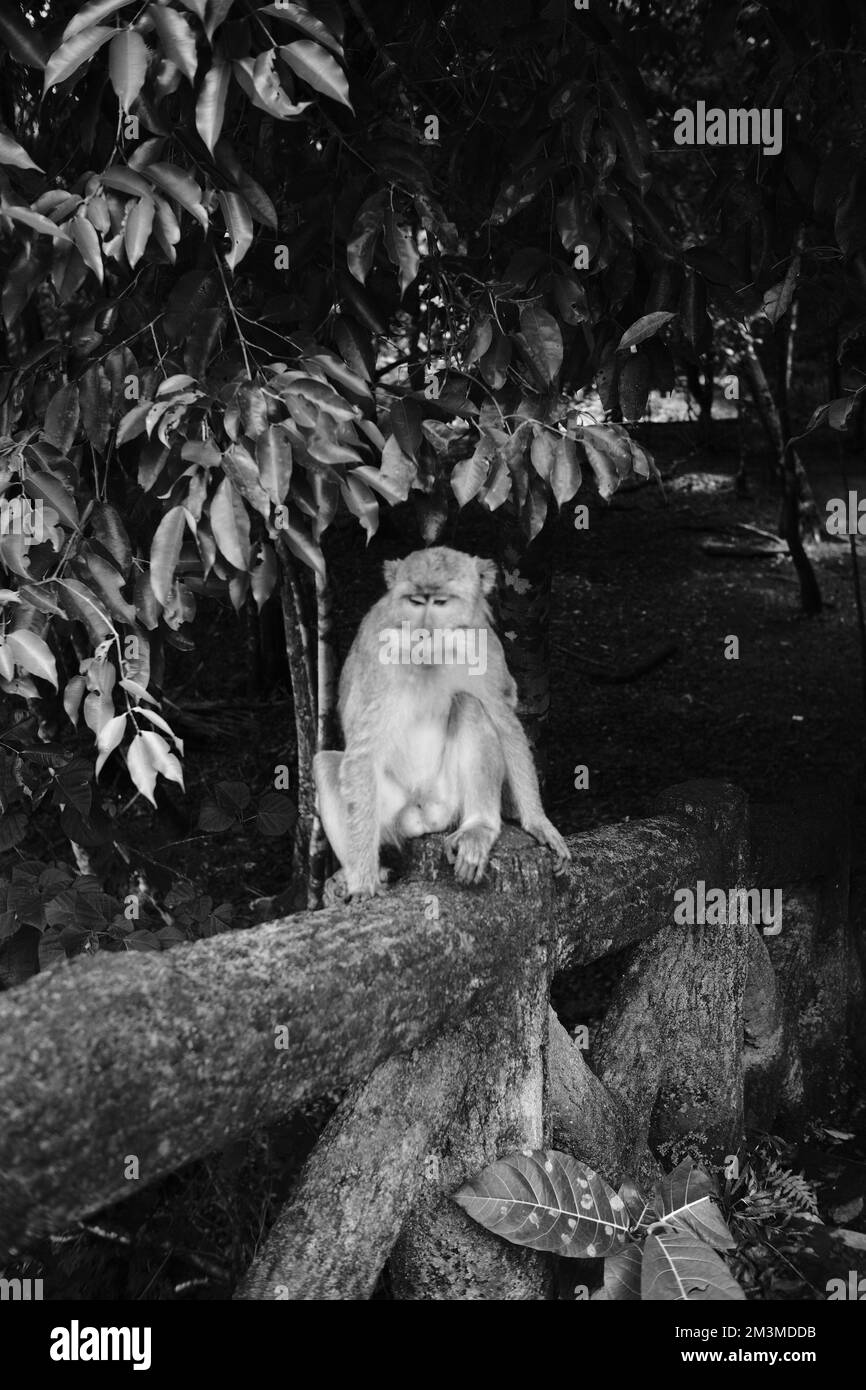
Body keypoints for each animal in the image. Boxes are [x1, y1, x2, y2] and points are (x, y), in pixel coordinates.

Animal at [313, 546, 570, 900]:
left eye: (441, 602)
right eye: (415, 601)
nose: (424, 628)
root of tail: (423, 815)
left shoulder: (484, 647)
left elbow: (505, 722)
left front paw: (538, 822)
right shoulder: (378, 657)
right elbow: (362, 753)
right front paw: (363, 882)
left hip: (449, 802)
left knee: (470, 704)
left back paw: (479, 828)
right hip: (392, 816)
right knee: (327, 765)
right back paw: (365, 873)